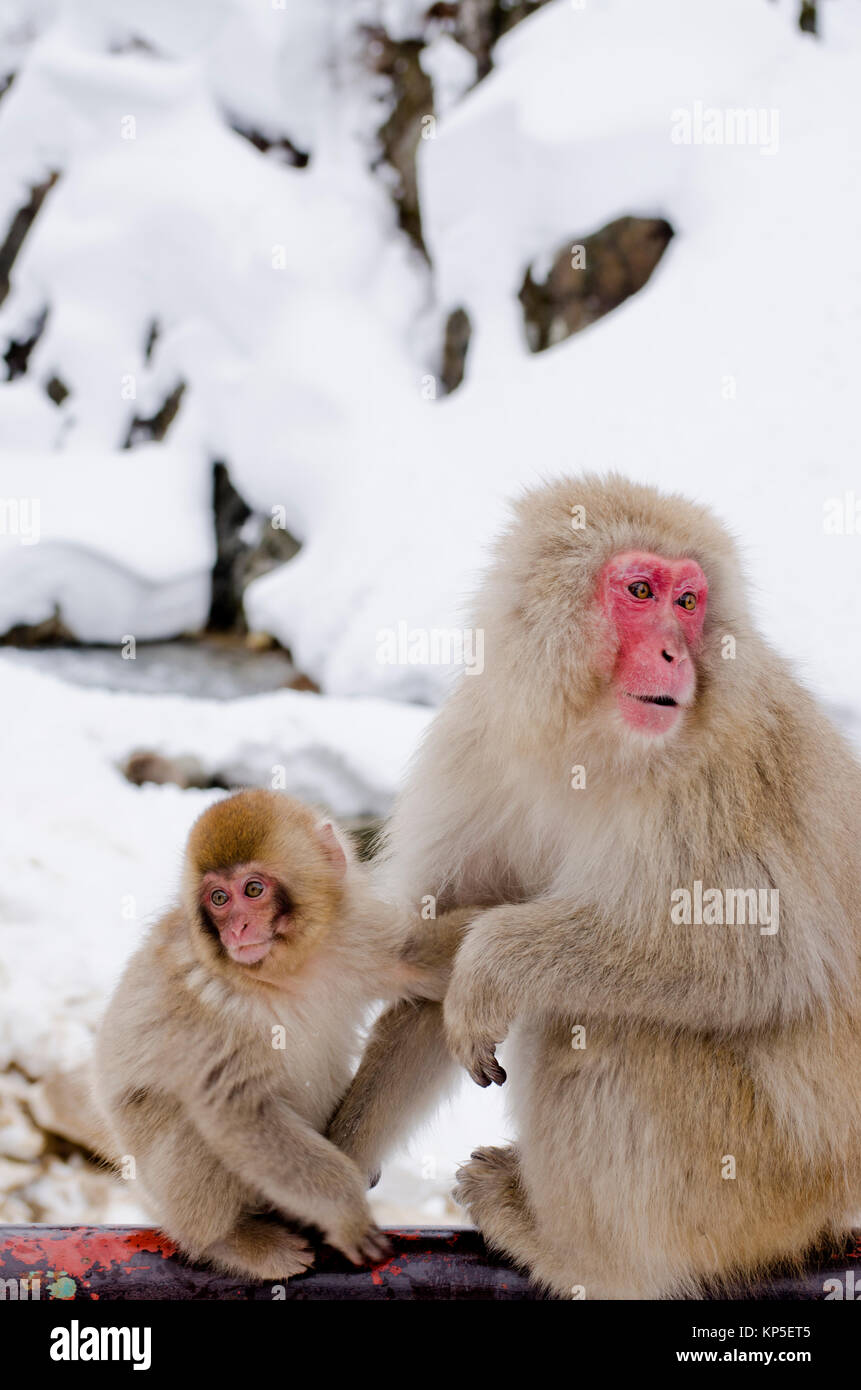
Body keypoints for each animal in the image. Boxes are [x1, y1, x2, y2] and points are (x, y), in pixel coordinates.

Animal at [88, 789, 469, 1280]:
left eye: (253, 890)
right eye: (218, 898)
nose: (237, 929)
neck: (286, 973)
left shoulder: (353, 935)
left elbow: (423, 959)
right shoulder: (211, 1005)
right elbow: (240, 1109)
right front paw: (345, 1208)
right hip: (162, 1187)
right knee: (190, 1123)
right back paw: (231, 1242)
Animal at [328, 472, 861, 1299]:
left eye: (687, 601)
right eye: (640, 591)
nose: (674, 652)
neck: (588, 744)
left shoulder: (717, 781)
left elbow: (760, 962)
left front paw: (494, 962)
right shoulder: (481, 746)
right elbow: (423, 973)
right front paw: (339, 1157)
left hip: (765, 1184)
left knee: (600, 1023)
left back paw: (574, 1253)